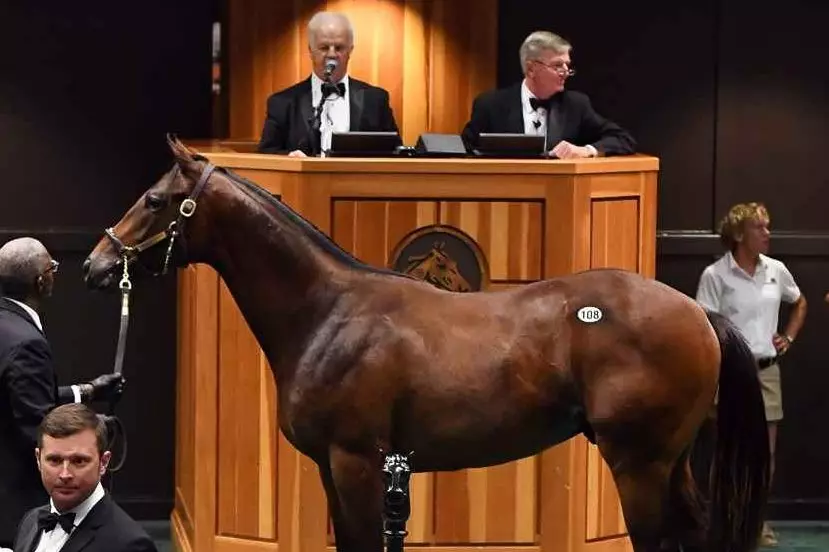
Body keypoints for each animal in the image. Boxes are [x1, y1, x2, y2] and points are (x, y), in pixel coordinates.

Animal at [84, 140, 768, 552]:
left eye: (154, 199)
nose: (96, 265)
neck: (328, 313)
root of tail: (698, 312)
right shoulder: (337, 469)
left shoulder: (356, 462)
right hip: (667, 465)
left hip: (639, 466)